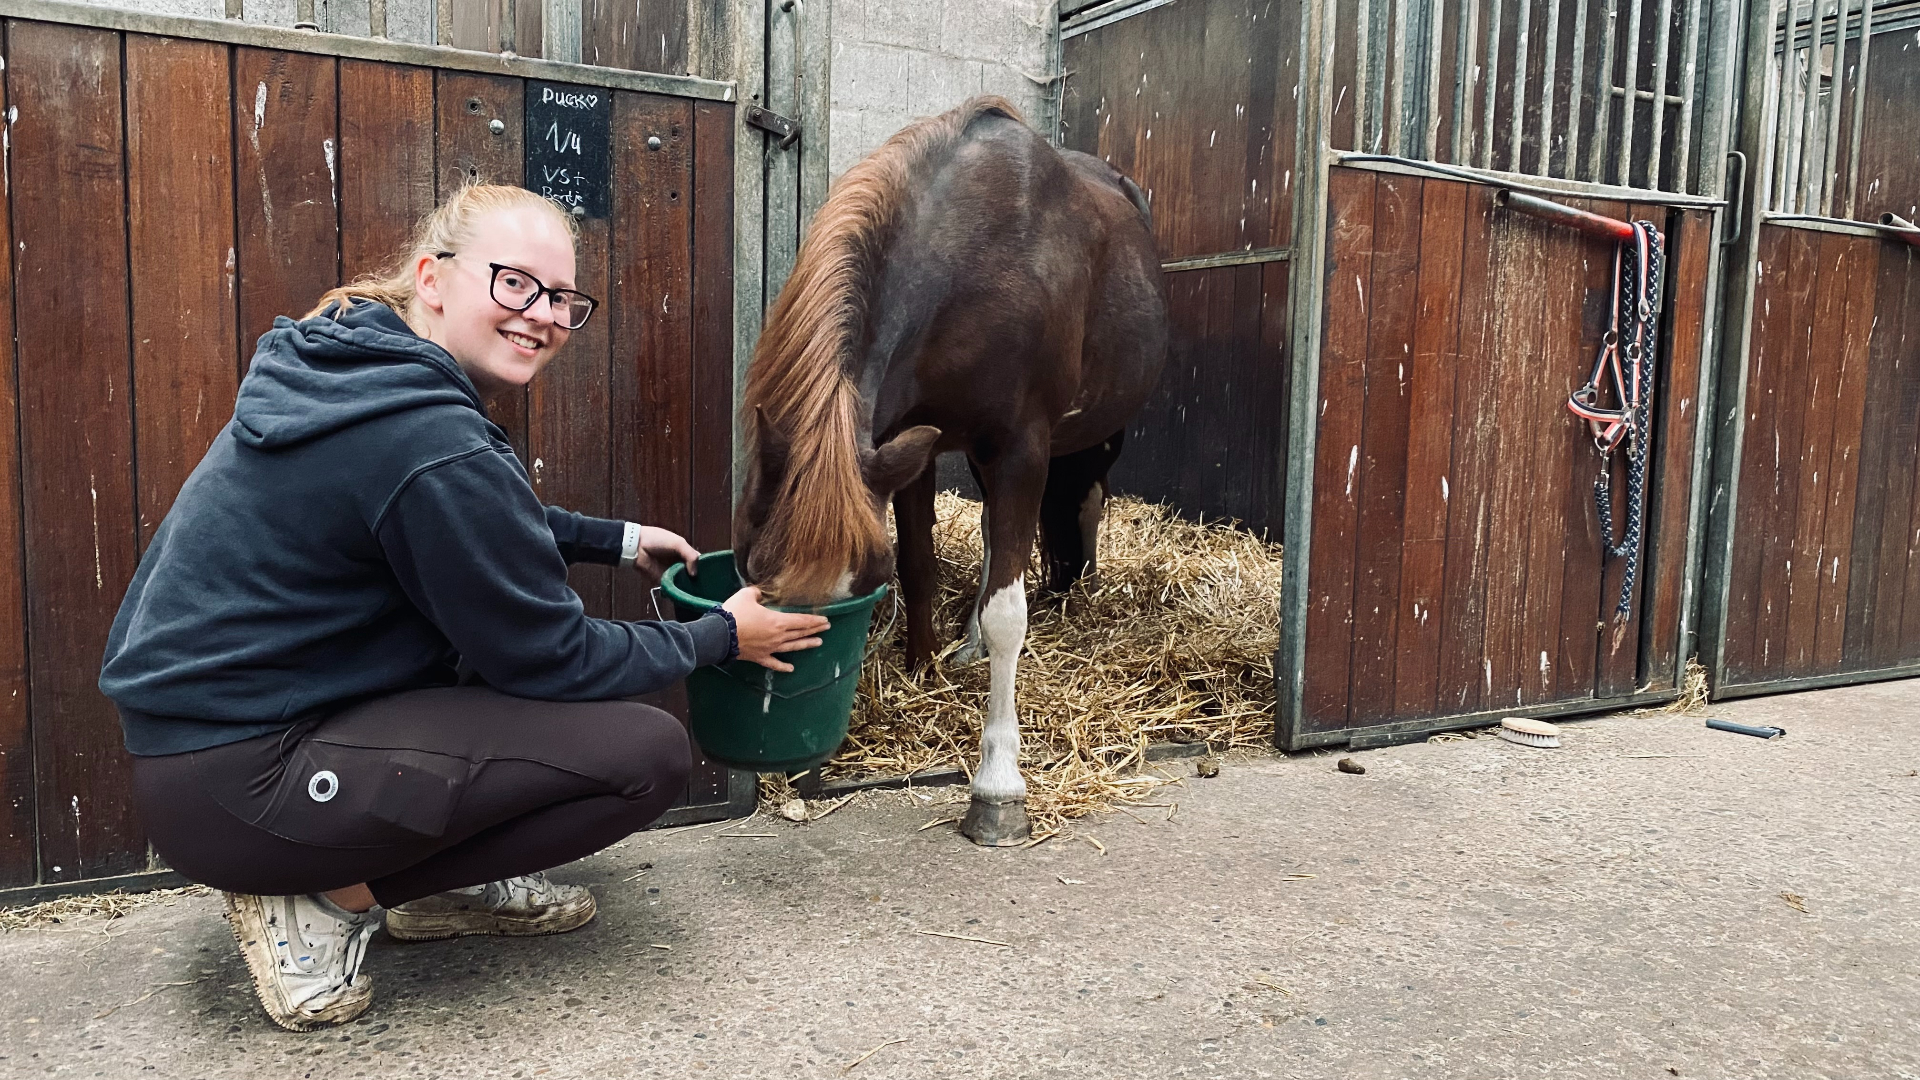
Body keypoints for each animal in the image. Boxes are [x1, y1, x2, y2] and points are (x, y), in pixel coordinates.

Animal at [732, 96, 1168, 846]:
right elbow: (921, 561)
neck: (974, 256)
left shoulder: (1022, 446)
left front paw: (998, 787)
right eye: (750, 568)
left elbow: (1007, 614)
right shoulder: (911, 444)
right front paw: (923, 669)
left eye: (862, 588)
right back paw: (964, 649)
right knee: (995, 532)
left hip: (1081, 442)